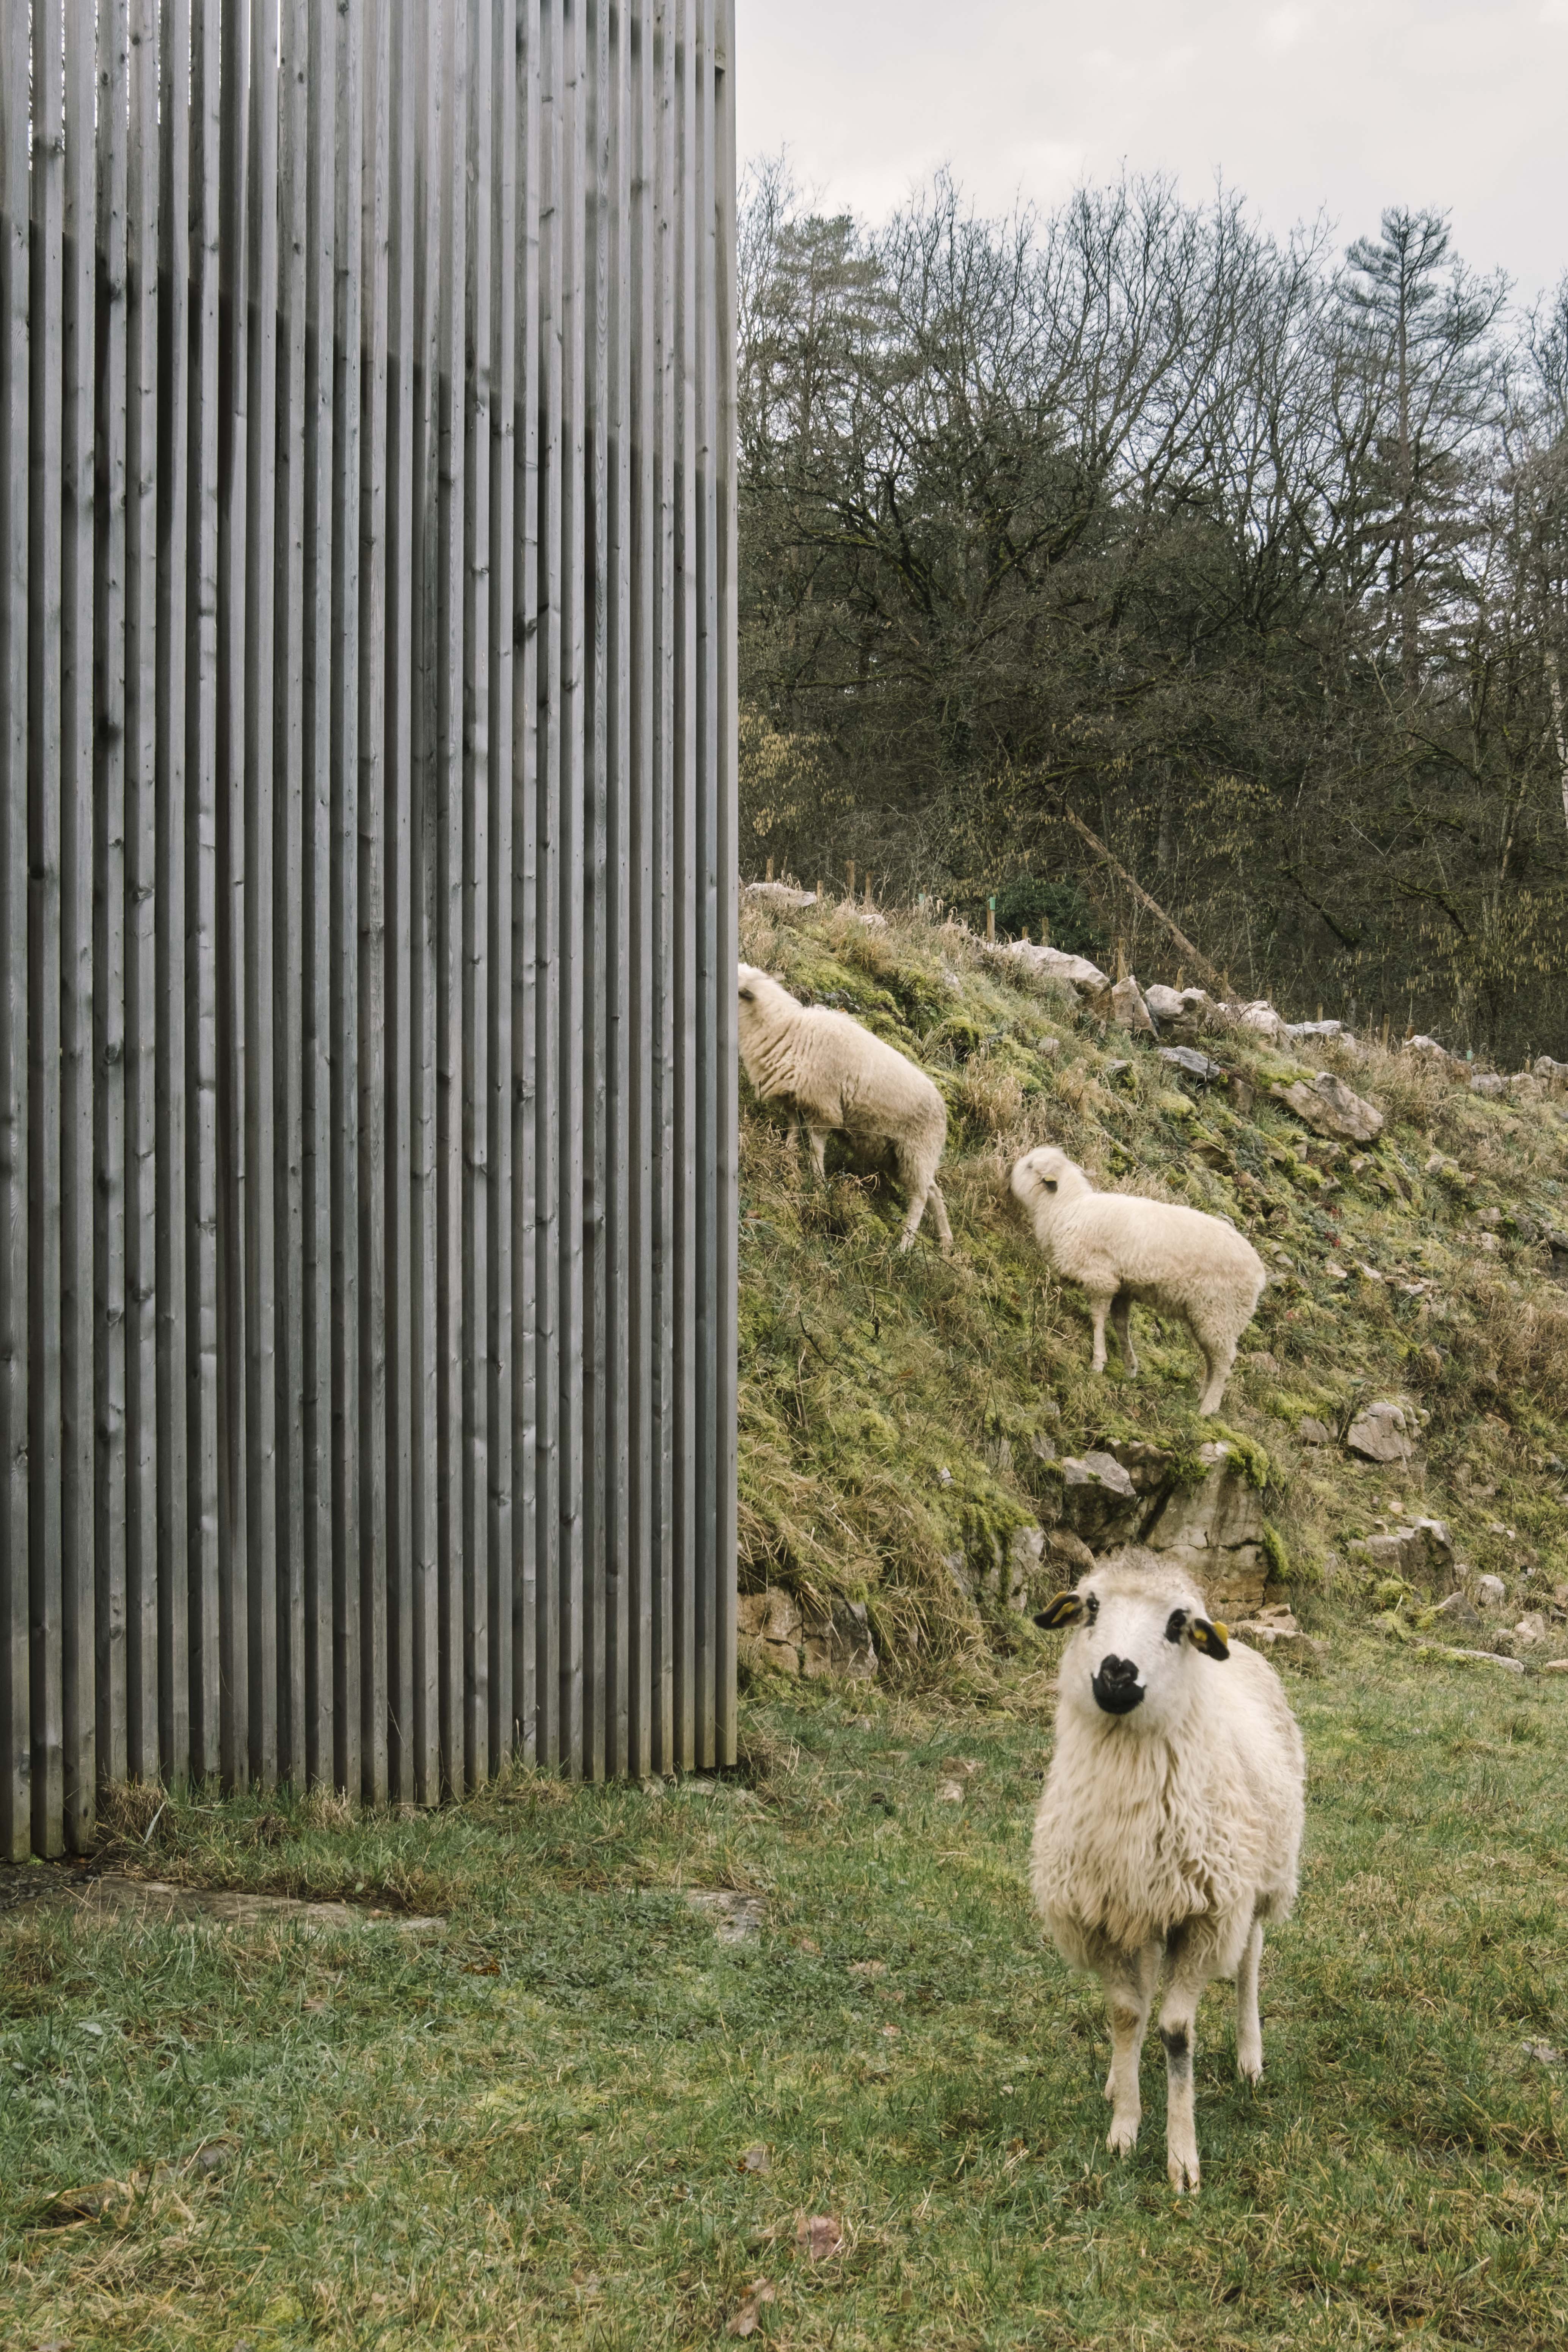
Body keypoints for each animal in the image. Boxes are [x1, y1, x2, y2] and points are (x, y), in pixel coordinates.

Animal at [737, 964, 952, 1251]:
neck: (788, 1030)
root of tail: (943, 1110)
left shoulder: (824, 1108)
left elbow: (816, 1150)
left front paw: (818, 1184)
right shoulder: (795, 1101)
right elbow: (793, 1131)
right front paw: (787, 1159)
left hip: (916, 1152)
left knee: (920, 1197)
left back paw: (904, 1246)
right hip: (901, 1156)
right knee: (934, 1191)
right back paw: (946, 1243)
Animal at [1009, 1145, 1265, 1414]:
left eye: (1031, 1167)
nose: (1009, 1167)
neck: (1068, 1208)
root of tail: (1260, 1274)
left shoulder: (1101, 1279)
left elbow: (1099, 1320)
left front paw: (1098, 1362)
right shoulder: (1122, 1289)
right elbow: (1121, 1325)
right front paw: (1130, 1367)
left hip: (1222, 1315)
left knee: (1224, 1362)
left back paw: (1208, 1408)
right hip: (1204, 1317)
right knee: (1211, 1360)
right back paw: (1202, 1397)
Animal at [1031, 1547, 1306, 2195]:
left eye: (1177, 1622)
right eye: (1090, 1606)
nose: (1115, 1672)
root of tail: (1242, 1644)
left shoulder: (1204, 1917)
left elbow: (1176, 2032)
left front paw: (1182, 2158)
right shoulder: (1104, 1914)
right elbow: (1126, 2012)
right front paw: (1123, 2125)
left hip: (1261, 1878)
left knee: (1250, 1958)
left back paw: (1248, 2056)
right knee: (1144, 1984)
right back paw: (1118, 2076)